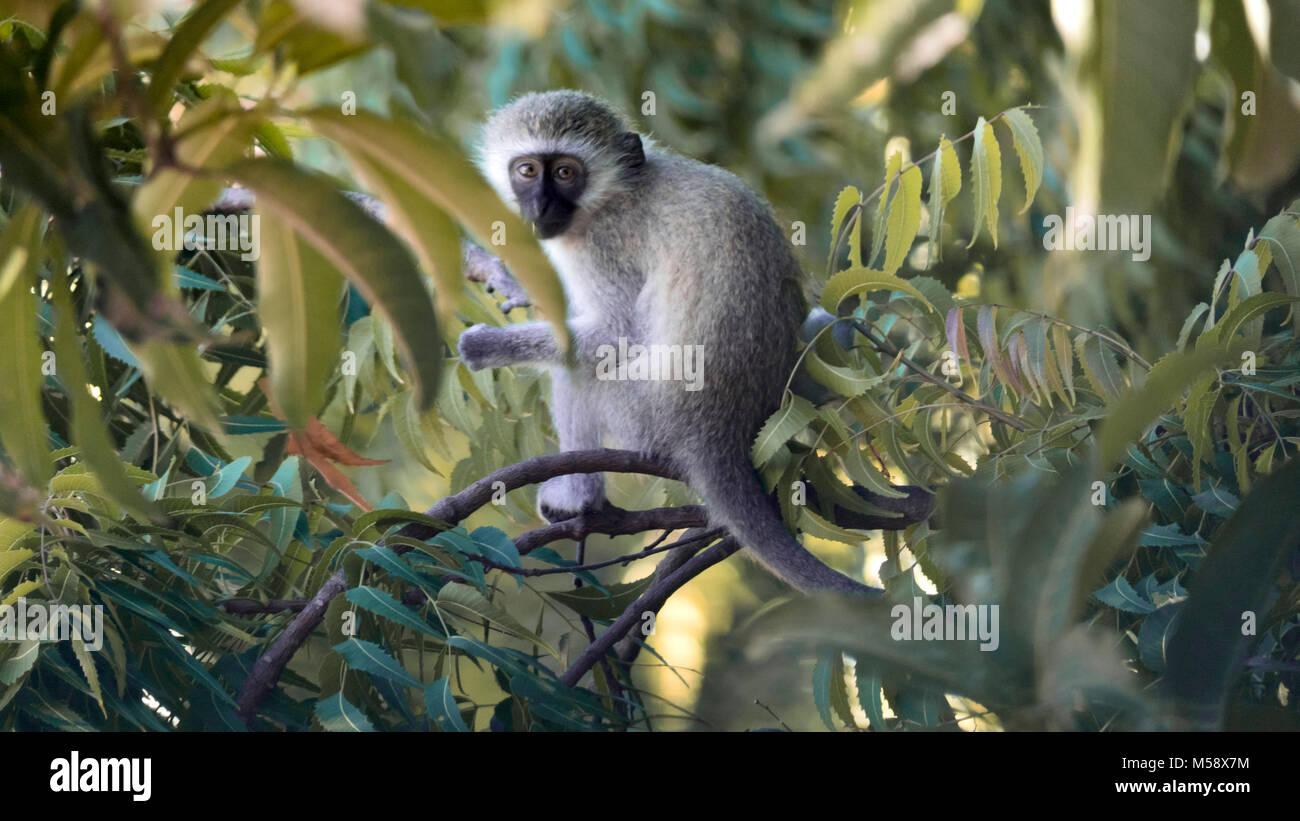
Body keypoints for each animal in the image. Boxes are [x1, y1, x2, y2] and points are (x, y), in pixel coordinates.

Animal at [457, 90, 882, 596]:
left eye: (564, 172)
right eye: (527, 171)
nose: (540, 207)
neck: (619, 189)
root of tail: (721, 433)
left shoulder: (602, 245)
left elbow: (614, 333)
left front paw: (484, 346)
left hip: (647, 416)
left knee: (579, 378)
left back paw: (579, 499)